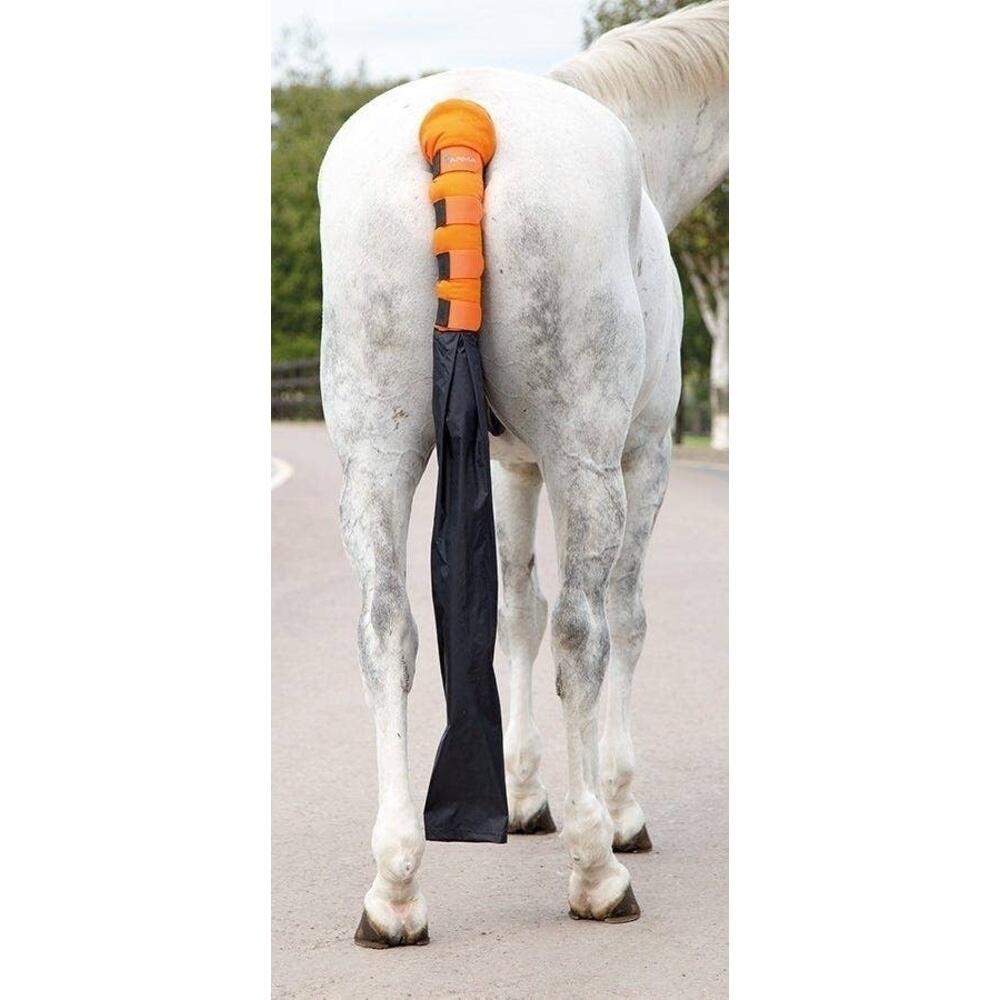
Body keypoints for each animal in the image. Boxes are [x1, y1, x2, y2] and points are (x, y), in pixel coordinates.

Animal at [317, 0, 729, 947]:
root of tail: (462, 122)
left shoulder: (510, 467)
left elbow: (511, 612)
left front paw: (523, 793)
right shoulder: (639, 452)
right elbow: (620, 619)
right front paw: (616, 806)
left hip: (375, 455)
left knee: (386, 631)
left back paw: (395, 889)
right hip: (590, 463)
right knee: (587, 630)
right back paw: (597, 870)